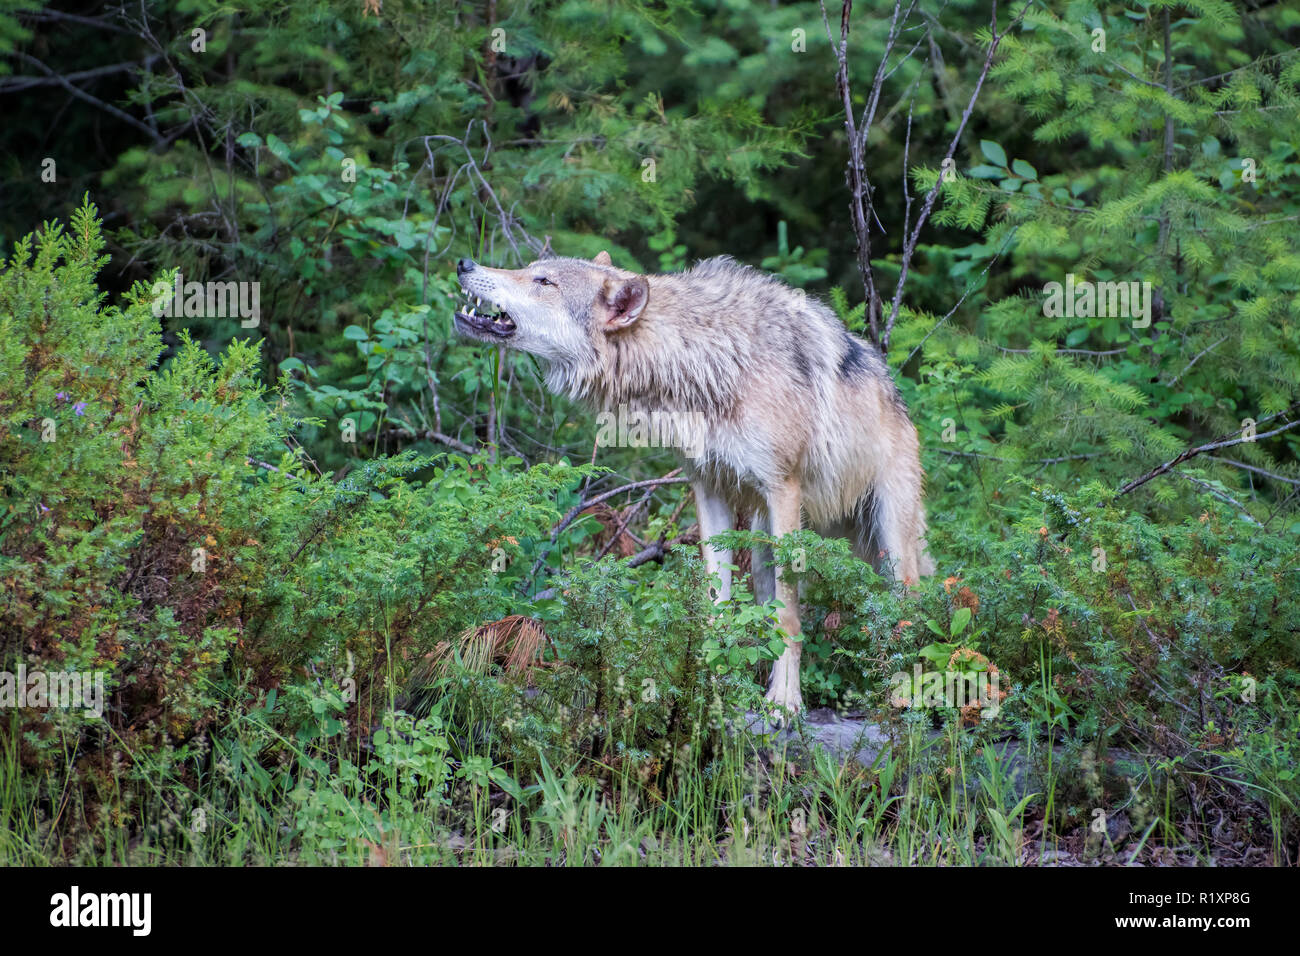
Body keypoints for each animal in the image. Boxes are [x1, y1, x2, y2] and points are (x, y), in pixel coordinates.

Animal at [454, 251, 933, 715]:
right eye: (531, 269)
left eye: (544, 282)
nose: (465, 263)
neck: (703, 362)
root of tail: (898, 396)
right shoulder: (708, 487)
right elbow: (715, 604)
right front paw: (707, 683)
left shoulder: (783, 487)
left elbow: (788, 616)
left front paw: (785, 703)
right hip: (763, 542)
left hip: (887, 542)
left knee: (909, 611)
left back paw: (901, 698)